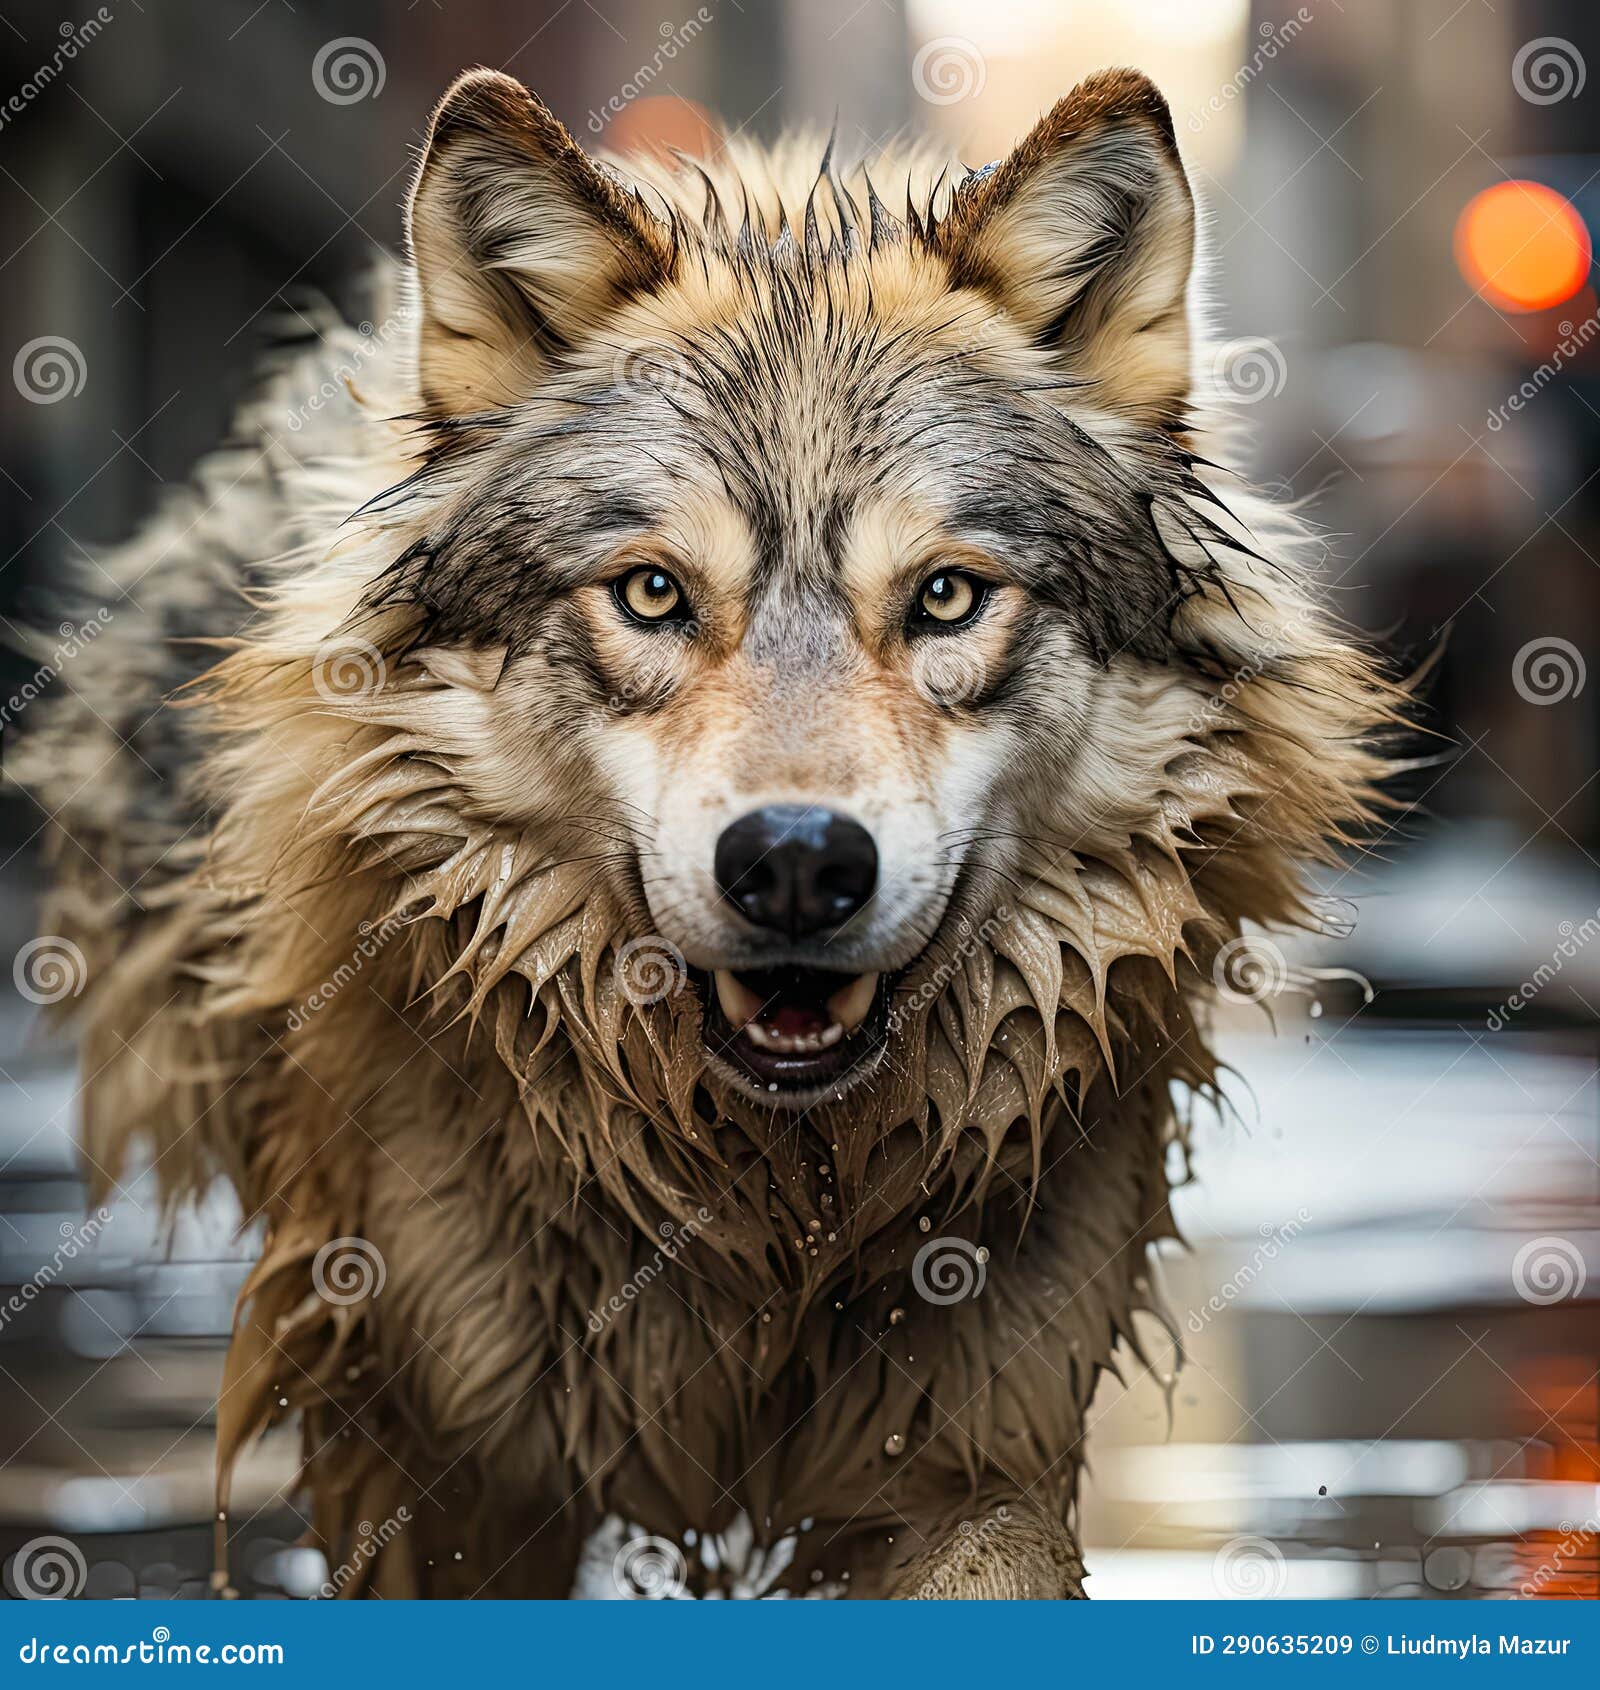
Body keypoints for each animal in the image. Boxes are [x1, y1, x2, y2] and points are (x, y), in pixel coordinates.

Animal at [9, 66, 1398, 1597]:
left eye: (949, 596)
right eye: (654, 593)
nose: (795, 861)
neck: (769, 1207)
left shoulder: (975, 1448)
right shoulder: (444, 1471)